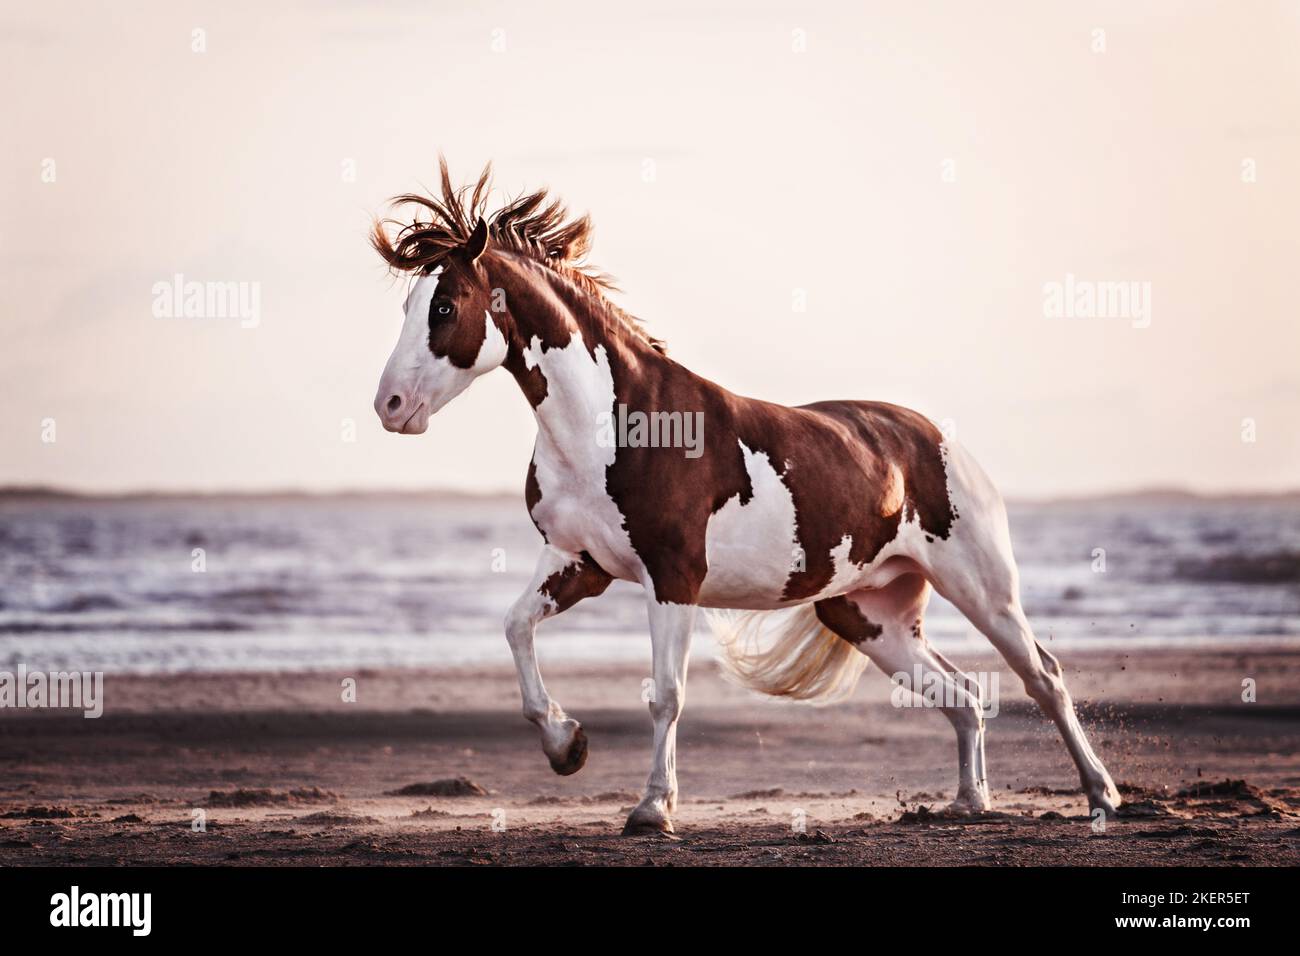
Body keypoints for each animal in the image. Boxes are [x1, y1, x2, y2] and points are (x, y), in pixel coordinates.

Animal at [369, 161, 1122, 835]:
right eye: (406, 306)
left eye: (444, 306)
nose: (389, 406)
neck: (616, 424)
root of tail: (940, 440)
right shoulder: (578, 563)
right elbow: (516, 628)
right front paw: (567, 746)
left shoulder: (673, 576)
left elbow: (666, 696)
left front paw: (653, 810)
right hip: (871, 613)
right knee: (961, 695)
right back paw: (968, 804)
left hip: (983, 589)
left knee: (1043, 675)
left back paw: (1101, 796)